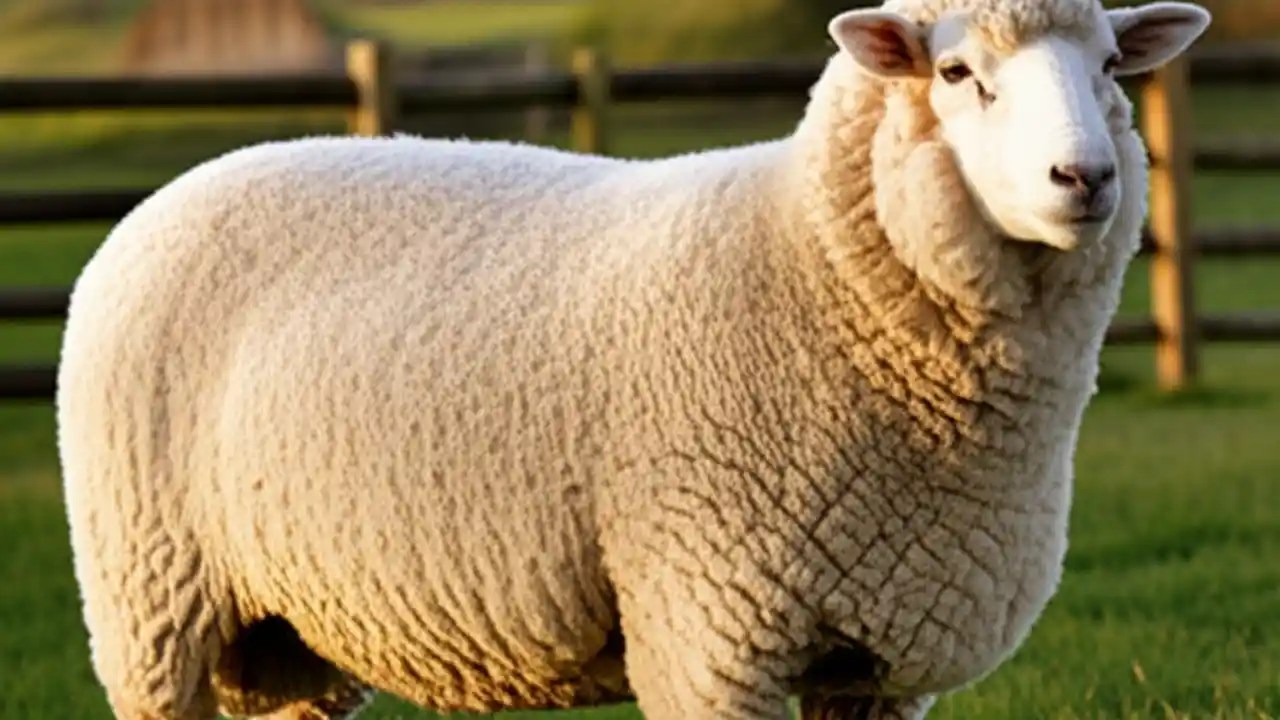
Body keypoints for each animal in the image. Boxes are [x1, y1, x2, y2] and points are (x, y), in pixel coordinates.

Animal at [55, 1, 1210, 718]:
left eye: (1111, 66)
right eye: (958, 71)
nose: (1085, 178)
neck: (810, 261)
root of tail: (177, 187)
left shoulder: (879, 658)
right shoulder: (708, 629)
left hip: (286, 633)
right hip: (148, 597)